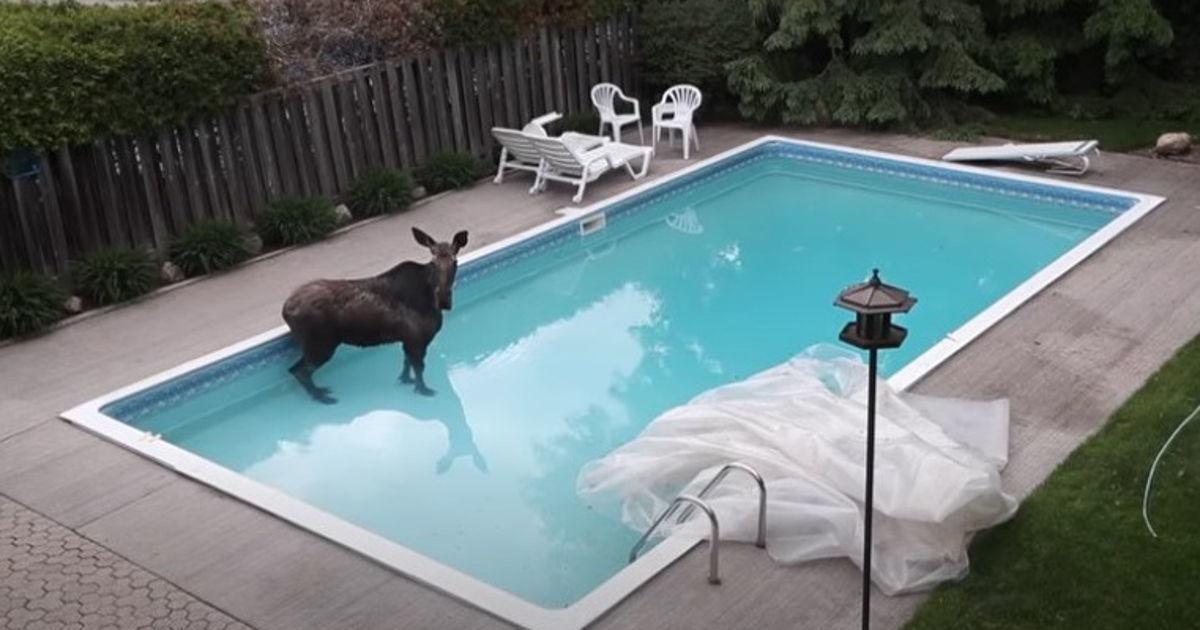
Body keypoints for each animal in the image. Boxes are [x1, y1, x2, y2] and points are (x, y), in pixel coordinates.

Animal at [281, 227, 469, 403]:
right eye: (433, 262)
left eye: (455, 261)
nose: (444, 300)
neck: (429, 296)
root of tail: (285, 310)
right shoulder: (417, 340)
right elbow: (419, 368)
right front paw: (422, 389)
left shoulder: (408, 340)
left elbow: (406, 363)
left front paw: (405, 379)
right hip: (320, 345)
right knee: (299, 371)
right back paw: (321, 397)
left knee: (296, 370)